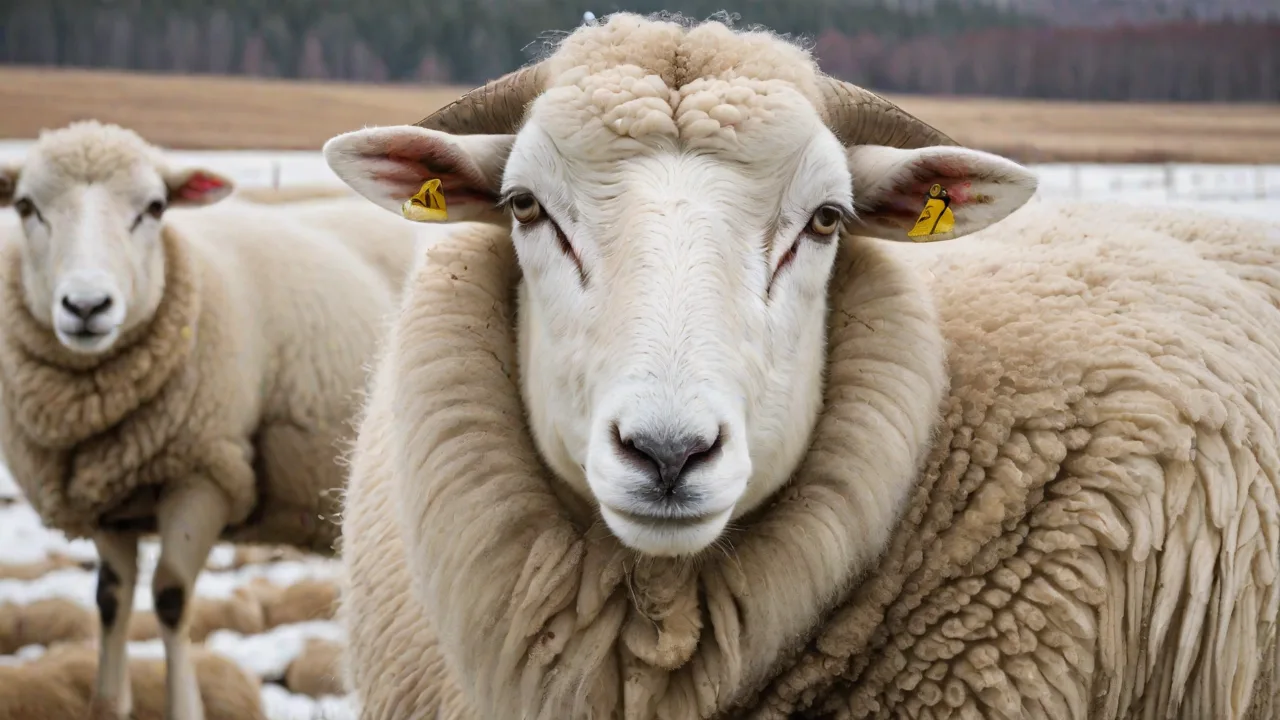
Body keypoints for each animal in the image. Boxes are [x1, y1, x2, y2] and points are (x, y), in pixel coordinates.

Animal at [0, 119, 421, 720]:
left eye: (154, 208)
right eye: (25, 206)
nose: (86, 306)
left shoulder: (205, 475)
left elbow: (171, 597)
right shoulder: (106, 502)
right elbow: (110, 600)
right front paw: (109, 700)